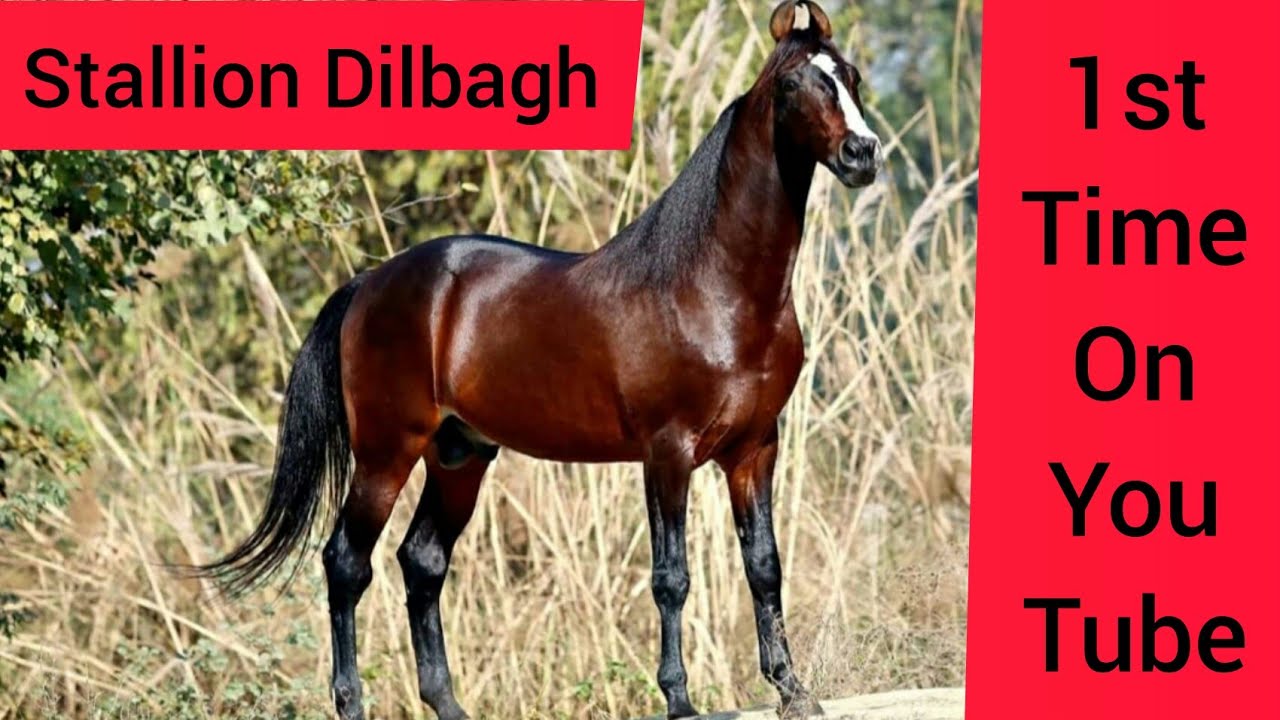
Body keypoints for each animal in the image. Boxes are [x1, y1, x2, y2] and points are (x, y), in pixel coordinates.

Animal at [195, 2, 882, 718]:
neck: (715, 286)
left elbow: (764, 566)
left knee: (423, 562)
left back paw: (448, 704)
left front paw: (794, 691)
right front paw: (679, 699)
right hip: (386, 454)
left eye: (852, 76)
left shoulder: (754, 449)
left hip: (459, 454)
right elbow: (671, 577)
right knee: (346, 564)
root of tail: (369, 283)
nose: (862, 154)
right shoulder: (668, 454)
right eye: (794, 84)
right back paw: (352, 701)